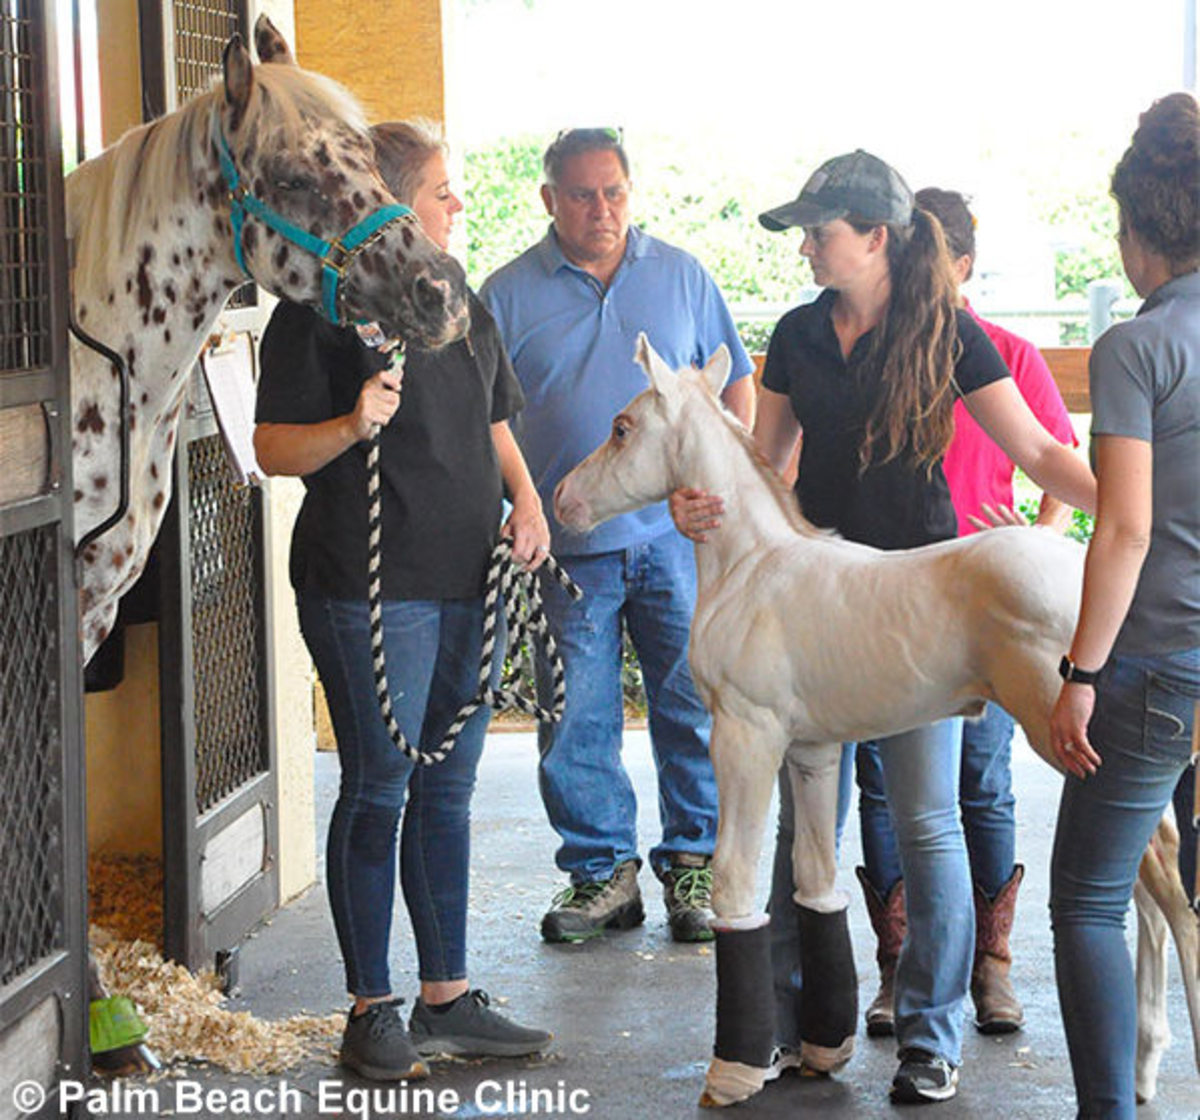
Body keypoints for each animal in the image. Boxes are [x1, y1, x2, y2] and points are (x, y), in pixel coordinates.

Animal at [554, 334, 1200, 1108]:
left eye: (621, 428)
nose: (563, 500)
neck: (752, 569)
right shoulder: (812, 750)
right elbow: (813, 878)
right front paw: (818, 1051)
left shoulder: (745, 737)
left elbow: (737, 878)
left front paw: (731, 1072)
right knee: (1145, 886)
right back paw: (1143, 1065)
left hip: (1069, 736)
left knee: (1169, 890)